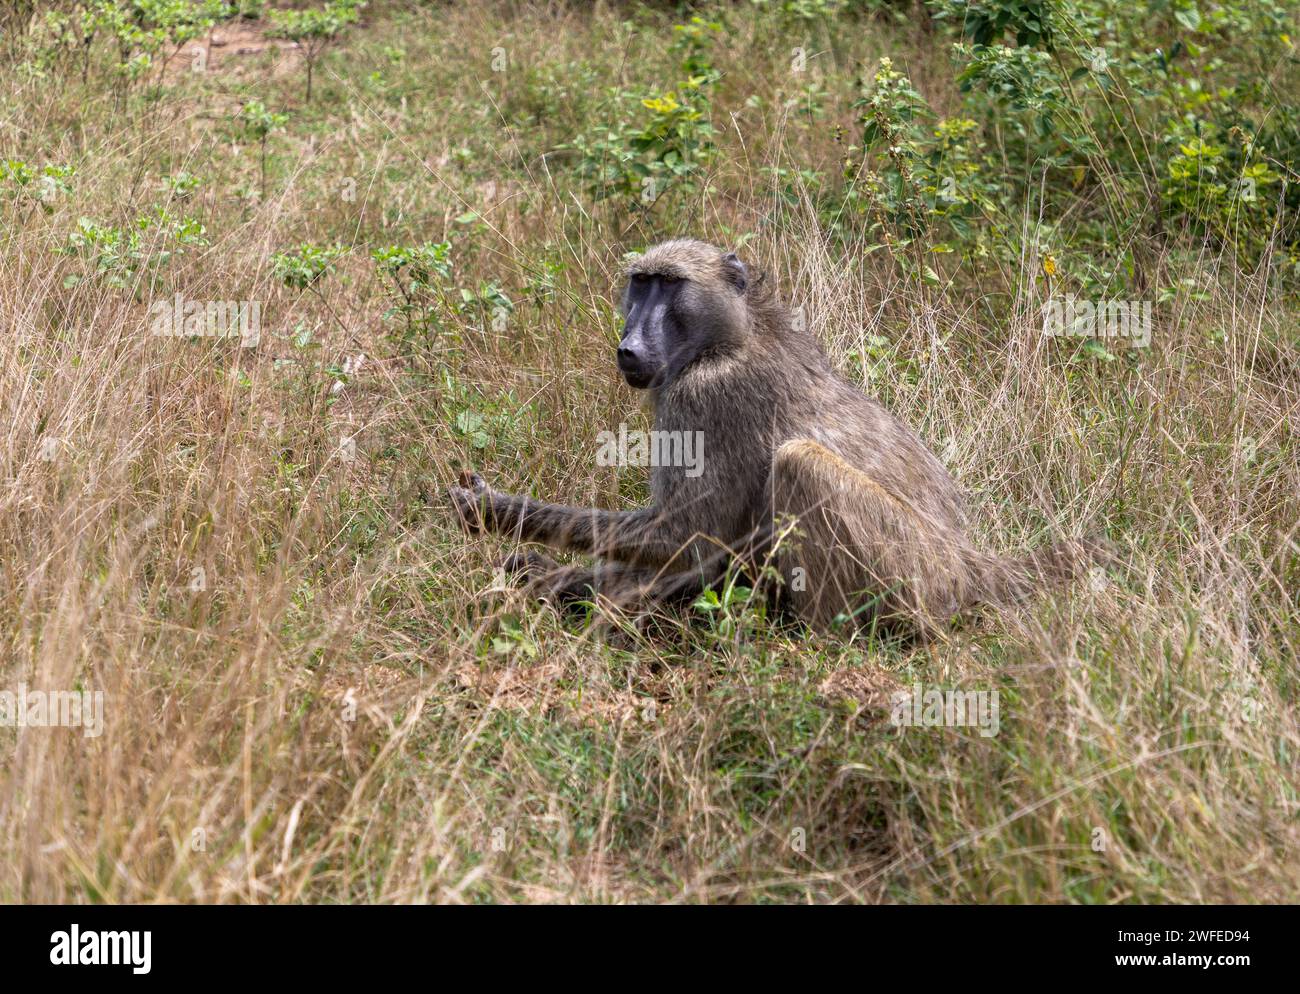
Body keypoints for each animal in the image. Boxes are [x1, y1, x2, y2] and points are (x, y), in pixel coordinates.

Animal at [449, 238, 1107, 637]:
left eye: (669, 286)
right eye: (640, 283)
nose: (628, 348)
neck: (732, 337)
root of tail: (973, 568)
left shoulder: (706, 398)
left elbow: (685, 537)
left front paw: (495, 510)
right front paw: (542, 574)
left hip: (916, 575)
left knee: (798, 462)